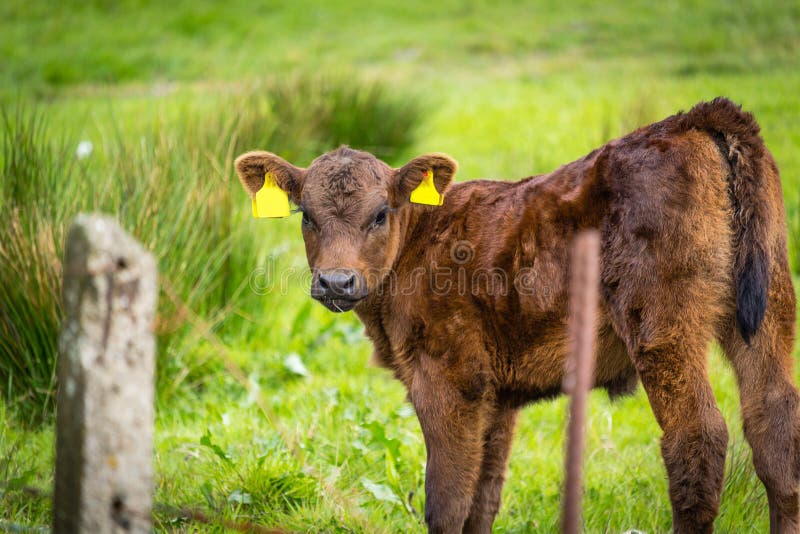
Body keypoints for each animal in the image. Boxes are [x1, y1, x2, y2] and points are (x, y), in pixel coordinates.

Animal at [235, 98, 798, 533]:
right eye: (306, 215)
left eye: (380, 213)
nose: (336, 282)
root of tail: (695, 117)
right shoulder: (496, 394)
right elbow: (483, 499)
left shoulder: (447, 379)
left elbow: (446, 502)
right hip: (770, 304)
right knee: (775, 430)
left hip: (662, 324)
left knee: (699, 440)